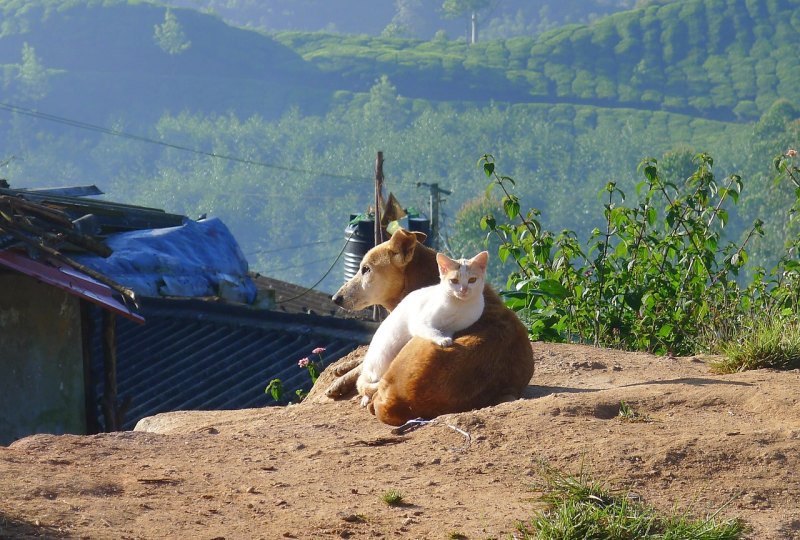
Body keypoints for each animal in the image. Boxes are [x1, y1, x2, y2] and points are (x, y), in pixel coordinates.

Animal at [356, 251, 488, 408]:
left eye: (472, 280)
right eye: (454, 281)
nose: (464, 290)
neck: (459, 306)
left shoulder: (453, 327)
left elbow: (446, 331)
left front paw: (446, 338)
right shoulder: (419, 322)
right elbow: (432, 330)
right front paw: (441, 339)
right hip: (381, 357)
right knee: (367, 382)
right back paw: (365, 397)